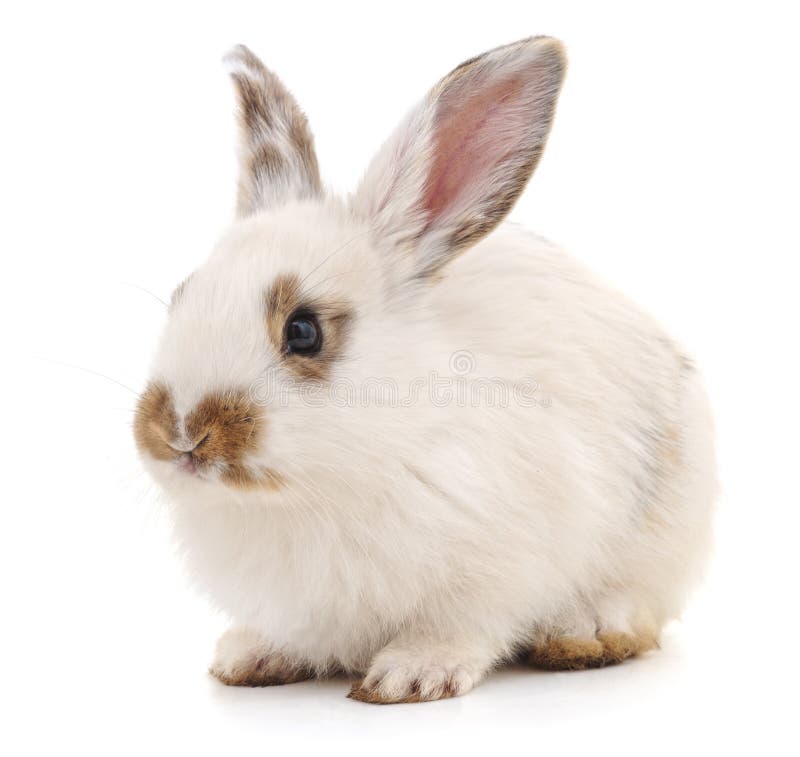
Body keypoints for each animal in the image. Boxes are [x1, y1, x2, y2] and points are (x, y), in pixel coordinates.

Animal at [134, 36, 717, 704]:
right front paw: (249, 656)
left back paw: (585, 634)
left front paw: (410, 674)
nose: (179, 432)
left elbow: (460, 626)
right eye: (181, 295)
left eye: (304, 331)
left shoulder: (498, 569)